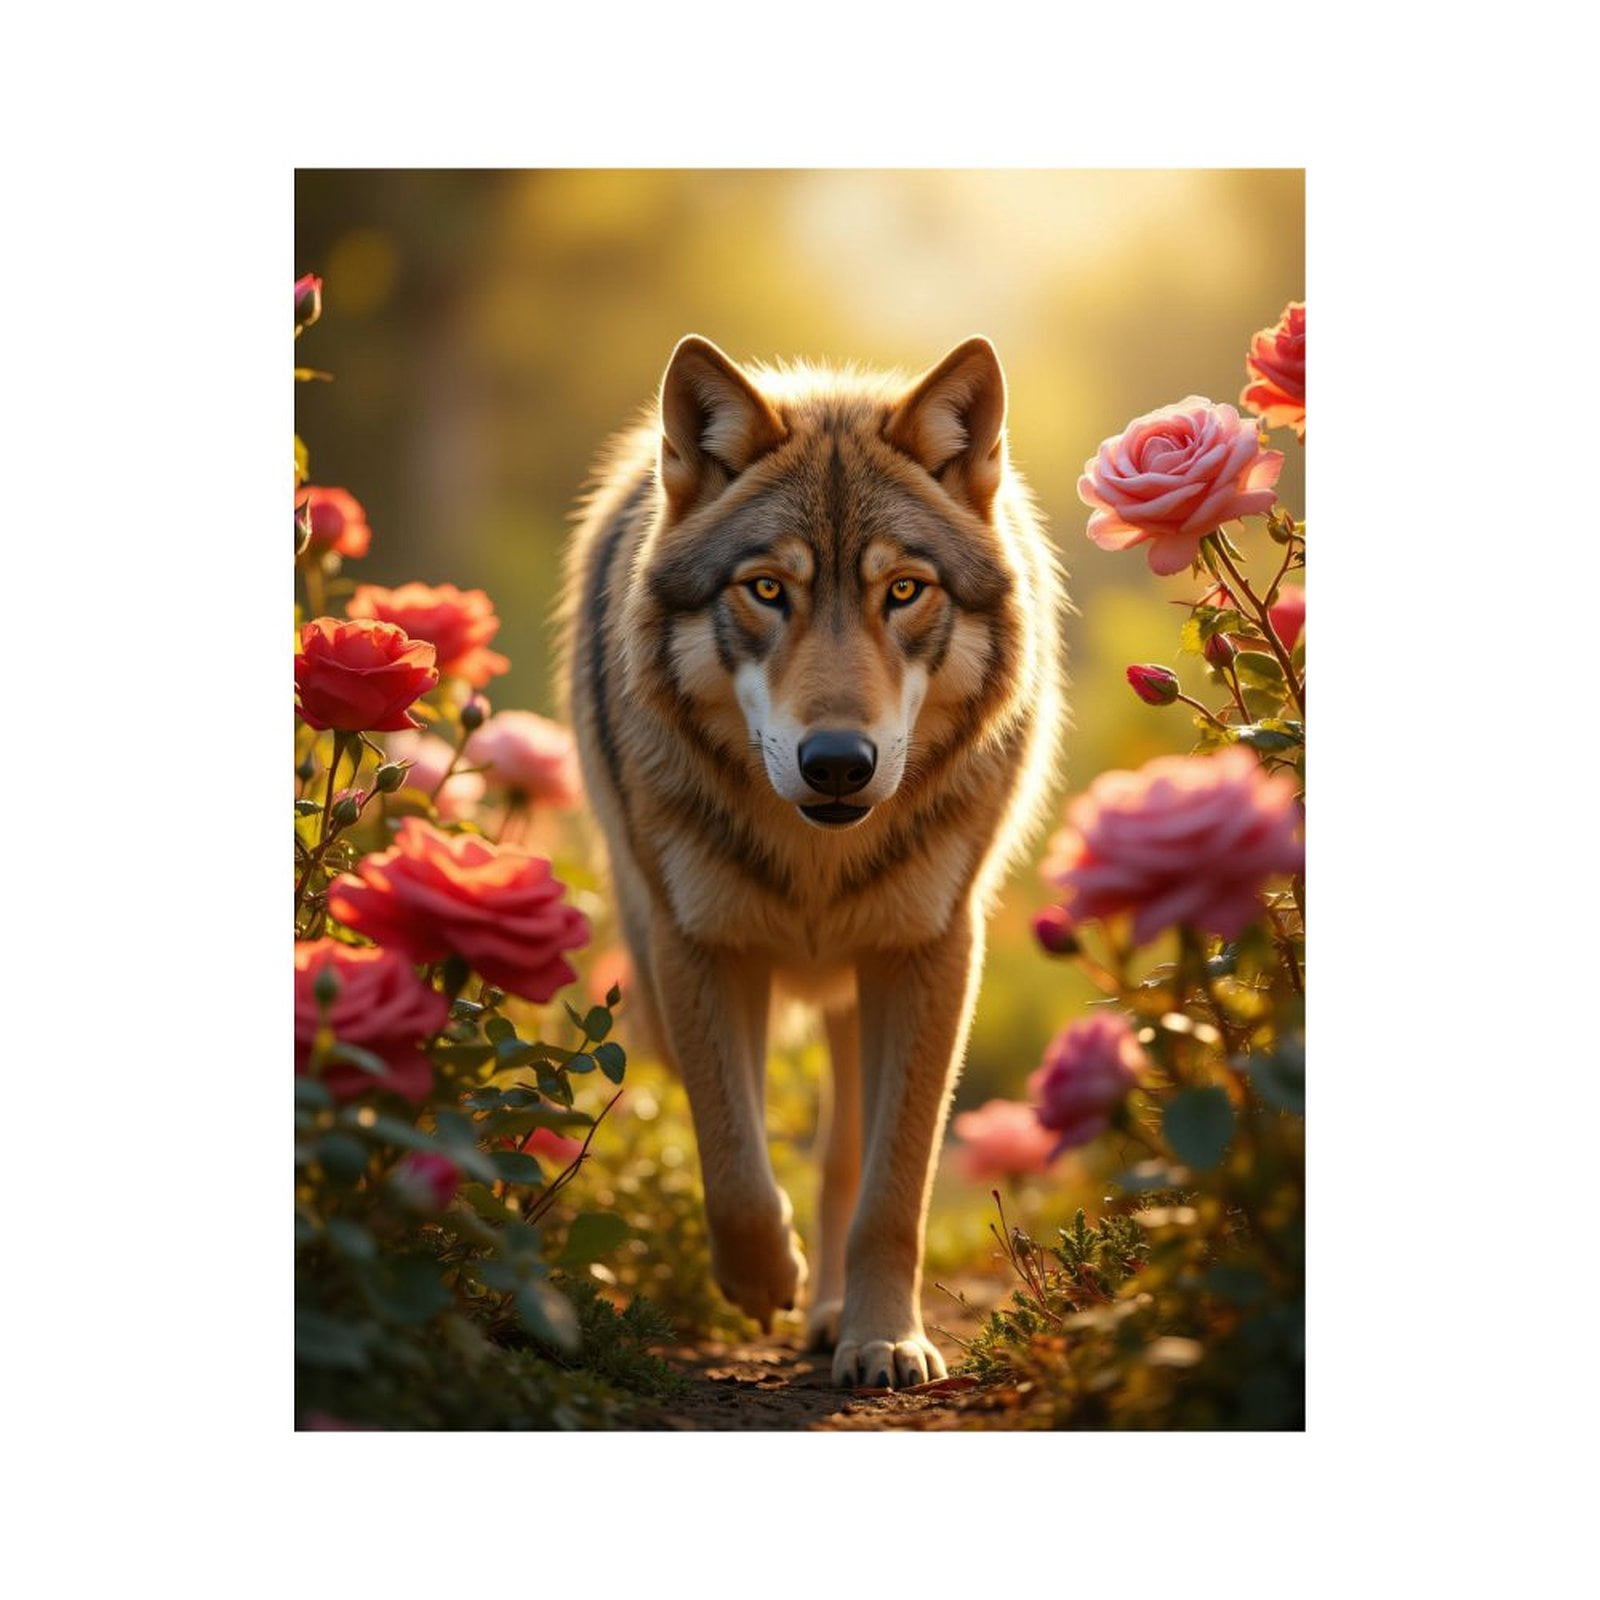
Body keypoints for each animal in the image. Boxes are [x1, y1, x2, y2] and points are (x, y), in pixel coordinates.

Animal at [560, 335, 1065, 1389]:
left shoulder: (932, 954)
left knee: (844, 1154)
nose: (837, 762)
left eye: (903, 591)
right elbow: (734, 1161)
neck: (817, 866)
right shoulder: (697, 949)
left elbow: (893, 1189)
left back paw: (838, 1316)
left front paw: (884, 1338)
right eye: (767, 590)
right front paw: (764, 1283)